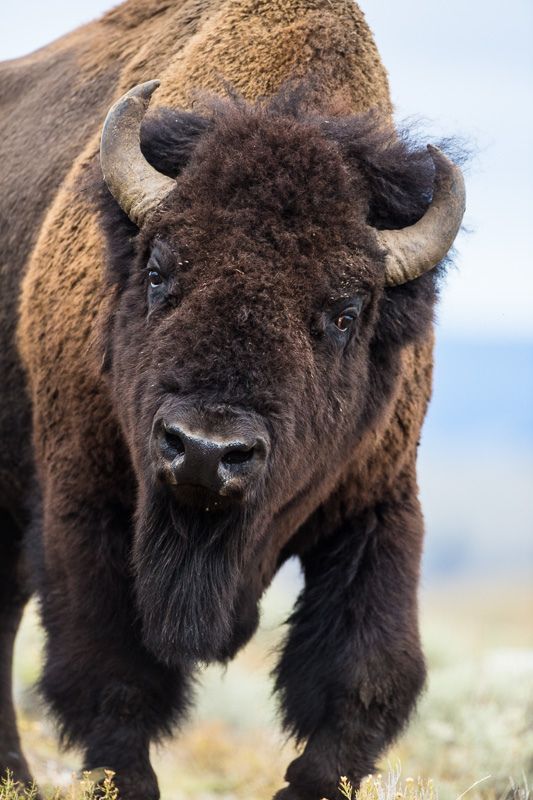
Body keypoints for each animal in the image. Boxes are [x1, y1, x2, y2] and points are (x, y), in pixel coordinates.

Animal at [0, 1, 465, 798]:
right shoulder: (82, 502)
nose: (205, 452)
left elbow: (362, 680)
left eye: (346, 312)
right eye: (159, 271)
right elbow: (113, 680)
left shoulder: (378, 507)